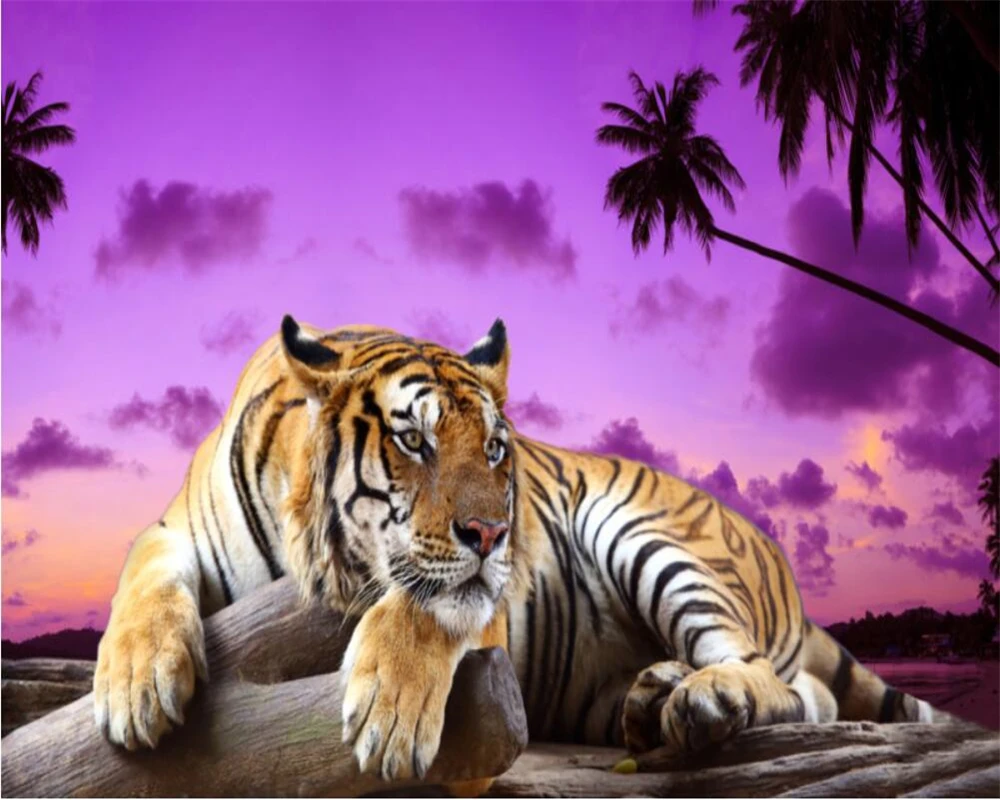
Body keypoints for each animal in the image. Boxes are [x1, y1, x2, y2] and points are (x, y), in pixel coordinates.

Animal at [94, 315, 946, 790]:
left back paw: (704, 700)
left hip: (644, 533)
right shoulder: (173, 530)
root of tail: (772, 548)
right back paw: (656, 696)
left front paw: (390, 715)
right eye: (414, 441)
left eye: (497, 449)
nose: (492, 534)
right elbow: (141, 576)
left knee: (782, 680)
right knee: (814, 694)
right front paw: (135, 687)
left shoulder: (476, 598)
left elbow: (429, 605)